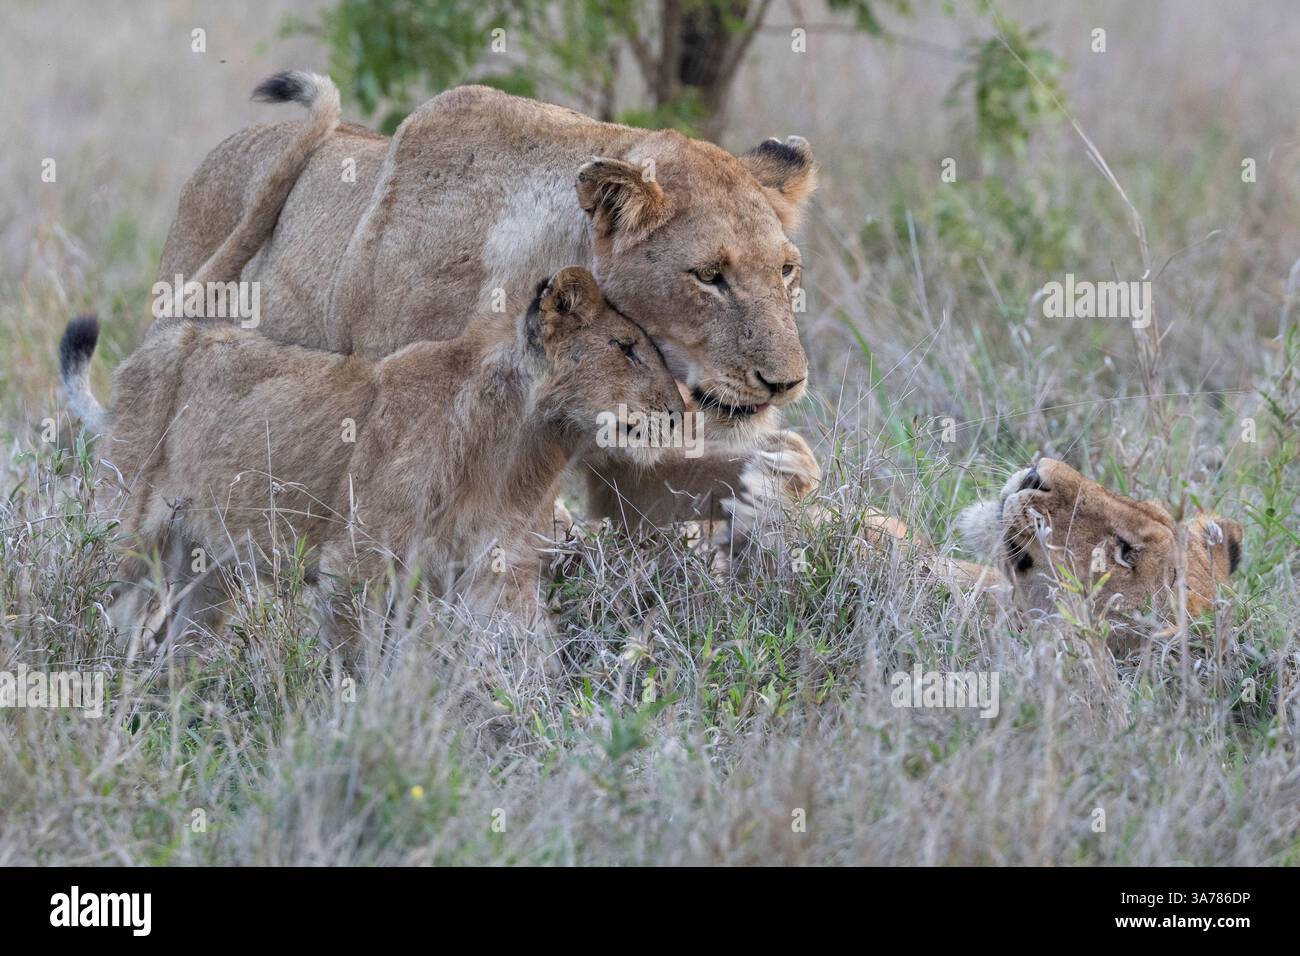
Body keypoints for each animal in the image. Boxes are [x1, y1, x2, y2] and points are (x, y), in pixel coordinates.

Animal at [60, 267, 684, 654]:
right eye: (627, 349)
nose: (680, 411)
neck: (521, 449)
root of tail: (146, 349)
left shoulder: (477, 574)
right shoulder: (353, 569)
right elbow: (358, 668)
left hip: (211, 566)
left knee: (177, 650)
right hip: (125, 533)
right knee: (84, 598)